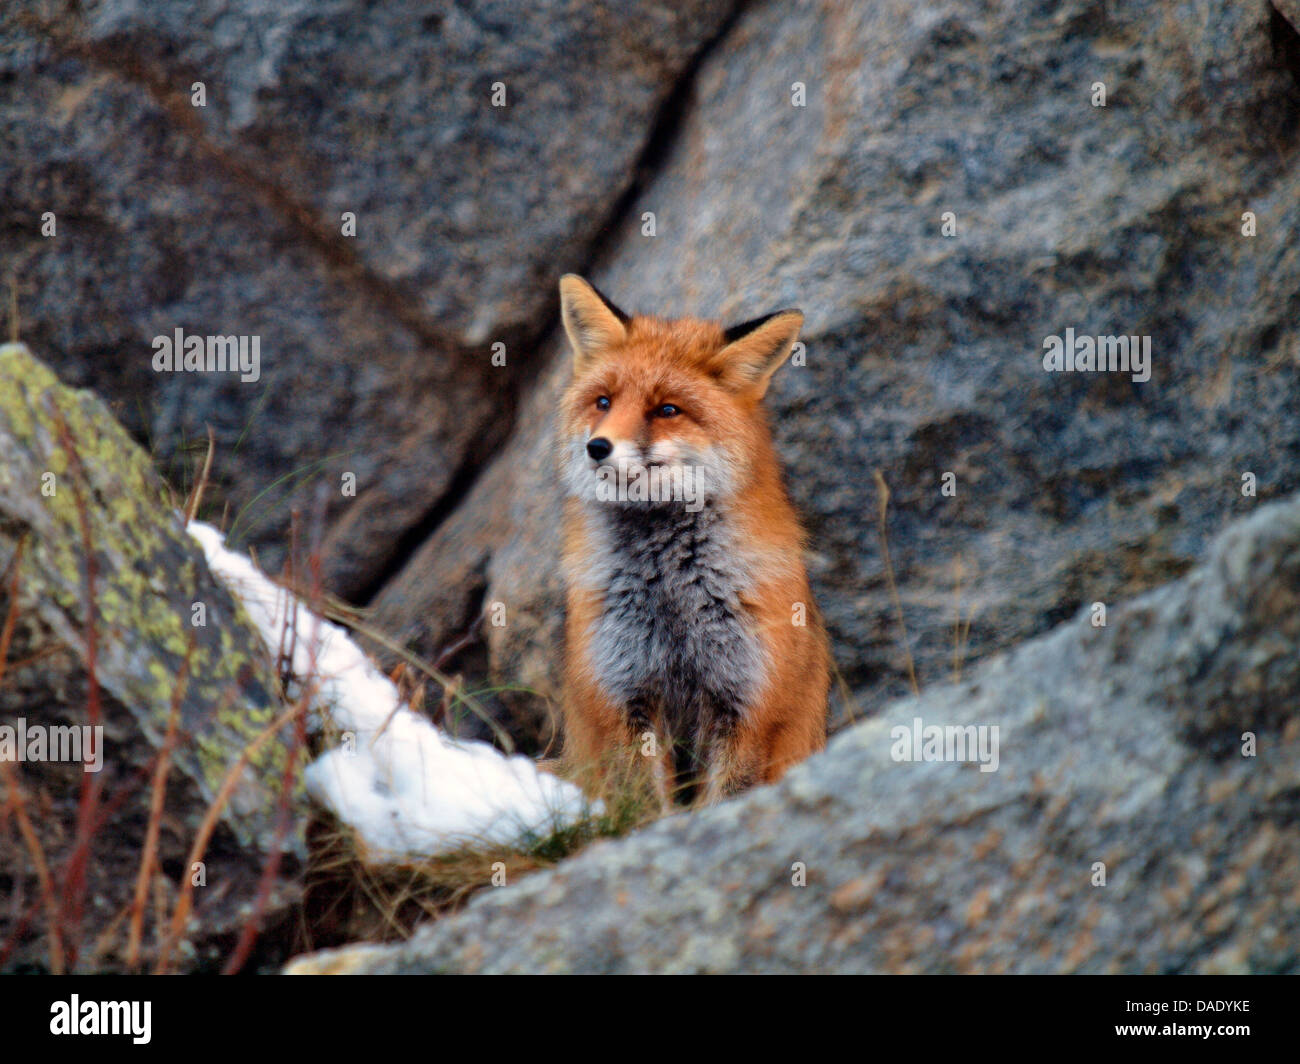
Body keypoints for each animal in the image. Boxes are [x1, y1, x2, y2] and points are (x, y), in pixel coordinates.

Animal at [556, 274, 830, 807]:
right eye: (603, 402)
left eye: (667, 410)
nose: (597, 446)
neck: (670, 594)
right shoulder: (623, 694)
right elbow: (644, 803)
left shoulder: (747, 703)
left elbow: (726, 796)